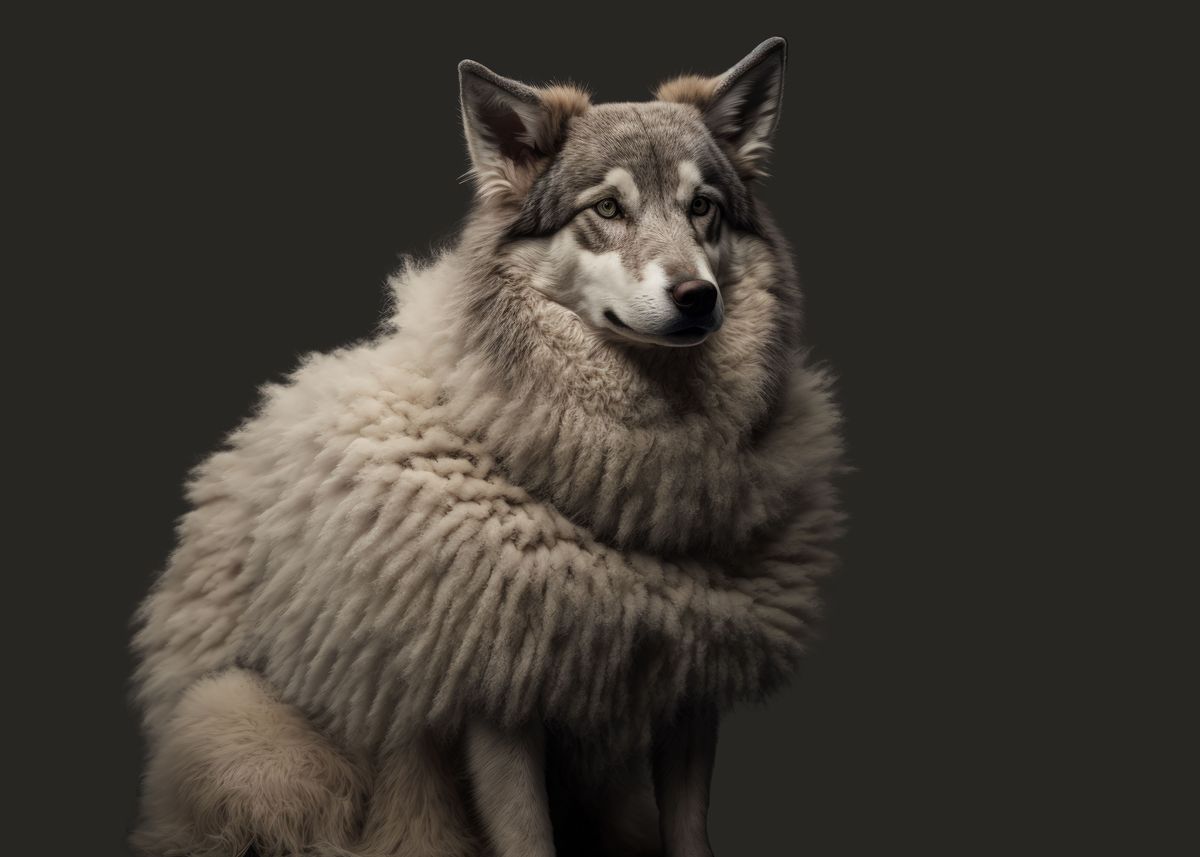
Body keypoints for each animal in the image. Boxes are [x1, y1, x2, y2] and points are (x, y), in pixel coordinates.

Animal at [131, 37, 844, 857]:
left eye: (704, 207)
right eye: (607, 208)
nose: (698, 298)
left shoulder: (689, 687)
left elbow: (690, 836)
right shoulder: (497, 696)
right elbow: (528, 840)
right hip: (247, 736)